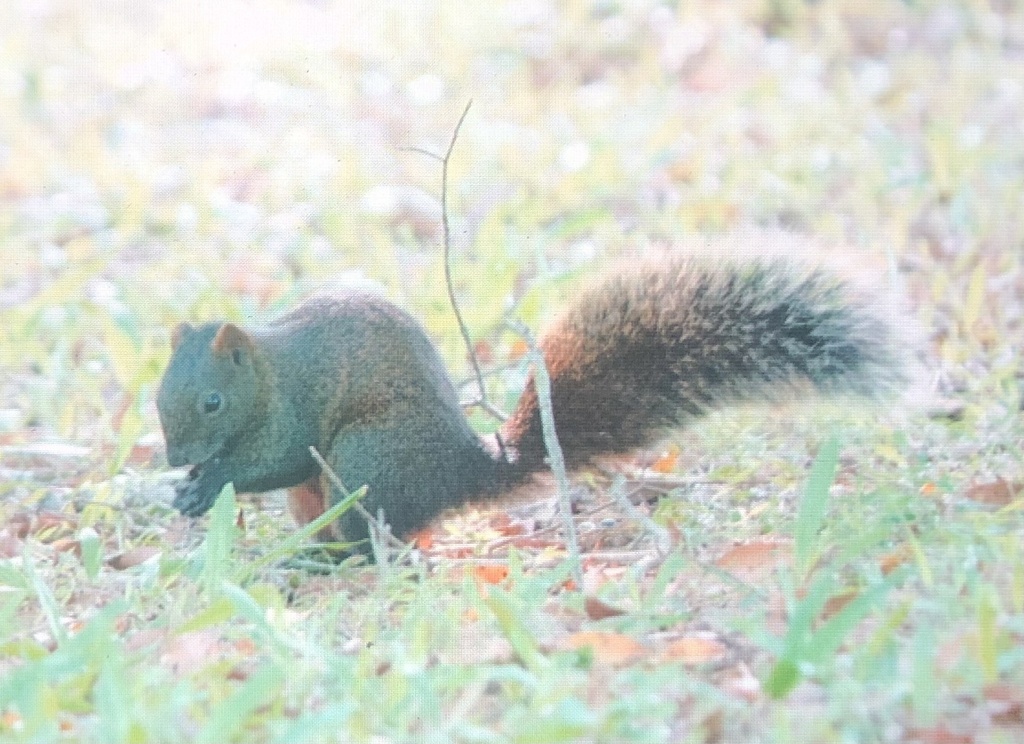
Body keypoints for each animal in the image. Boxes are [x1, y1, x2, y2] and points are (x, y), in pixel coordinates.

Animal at [156, 257, 899, 550]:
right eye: (160, 399)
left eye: (213, 401)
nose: (173, 456)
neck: (267, 374)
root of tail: (459, 471)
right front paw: (190, 484)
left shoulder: (297, 405)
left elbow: (273, 458)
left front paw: (210, 481)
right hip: (323, 492)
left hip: (366, 458)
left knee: (376, 535)